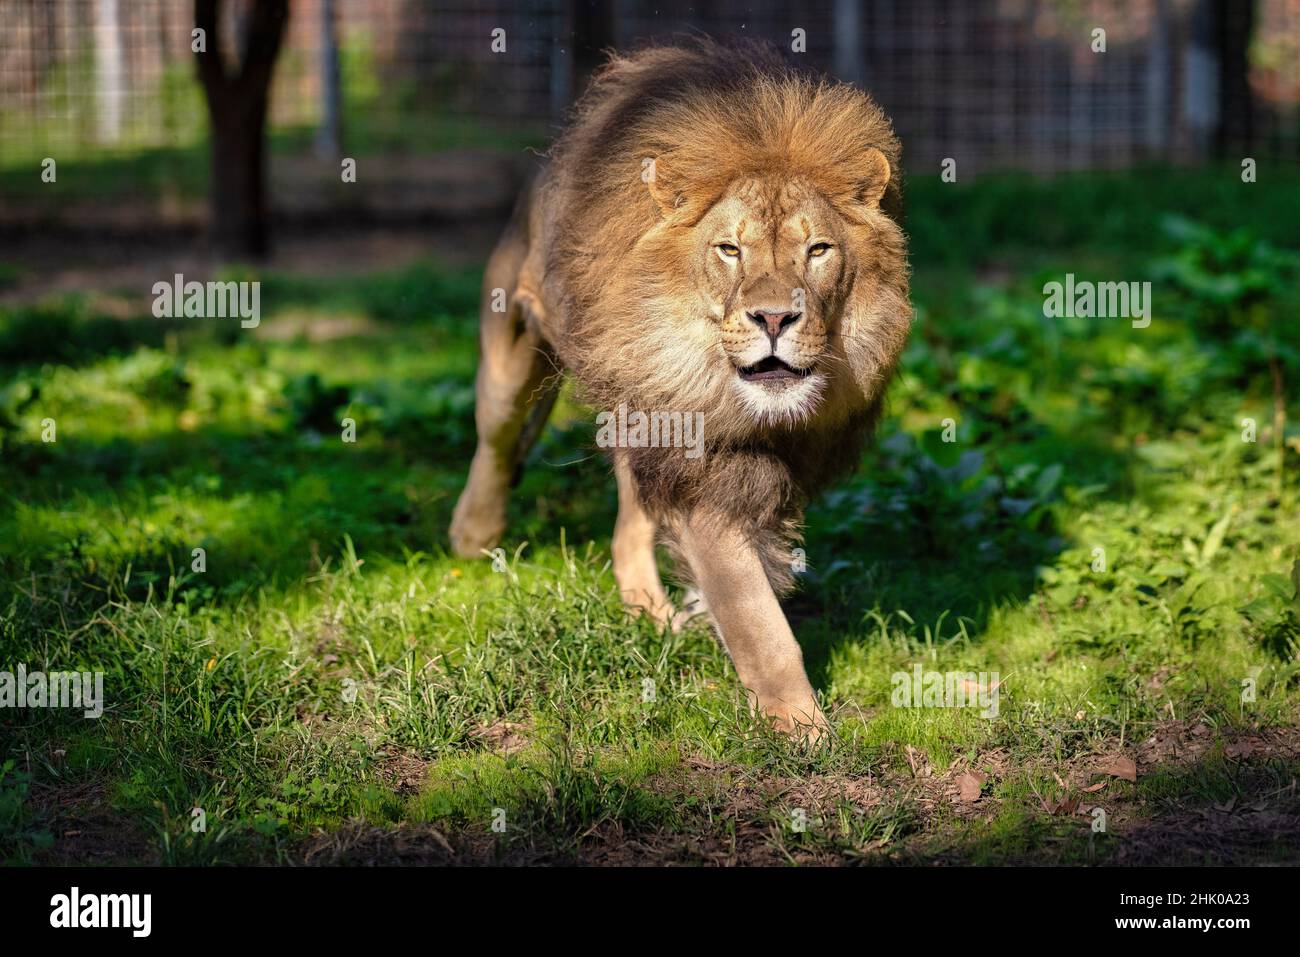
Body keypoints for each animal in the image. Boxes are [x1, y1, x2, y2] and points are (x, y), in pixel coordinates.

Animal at [450, 38, 911, 738]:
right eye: (729, 250)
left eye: (818, 250)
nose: (774, 318)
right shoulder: (703, 478)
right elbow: (759, 623)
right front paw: (802, 729)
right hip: (512, 344)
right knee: (497, 442)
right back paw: (473, 537)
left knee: (627, 526)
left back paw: (653, 618)